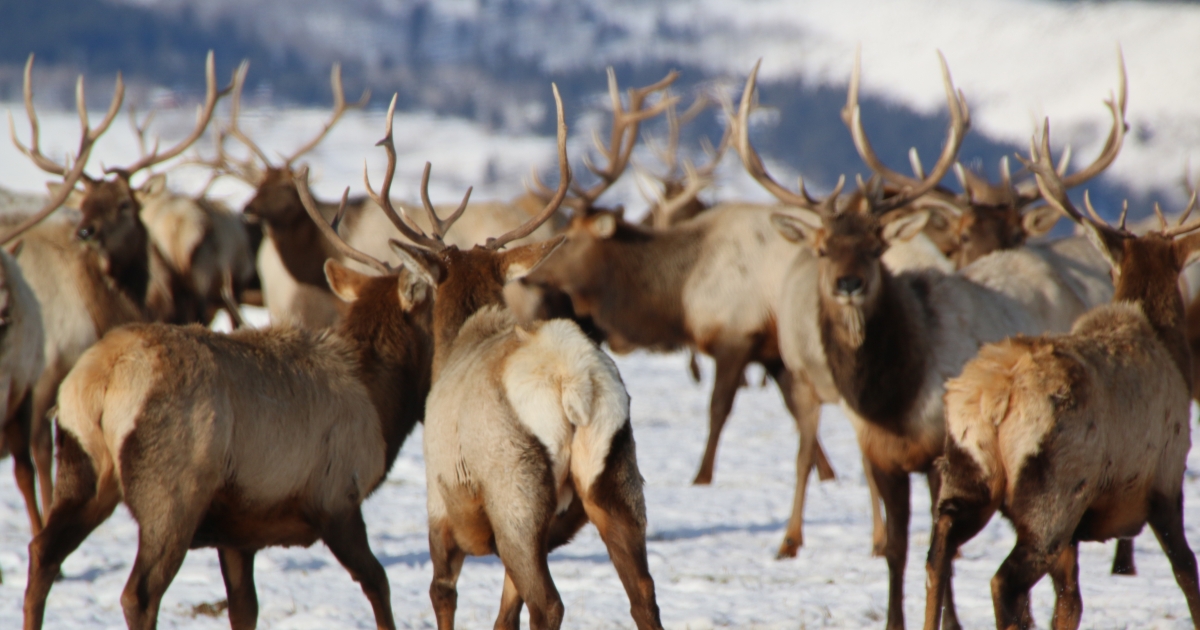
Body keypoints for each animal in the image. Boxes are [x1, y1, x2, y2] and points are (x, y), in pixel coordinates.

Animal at [21, 152, 438, 629]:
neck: (382, 405)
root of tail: (99, 382)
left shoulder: (239, 531)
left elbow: (245, 608)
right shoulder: (337, 498)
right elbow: (378, 584)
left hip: (81, 466)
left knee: (42, 552)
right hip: (173, 493)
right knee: (138, 593)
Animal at [924, 126, 1200, 630]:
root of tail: (993, 400)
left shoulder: (1078, 531)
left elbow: (1069, 603)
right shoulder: (1165, 475)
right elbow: (1186, 569)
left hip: (965, 473)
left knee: (939, 555)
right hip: (1054, 492)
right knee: (1004, 582)